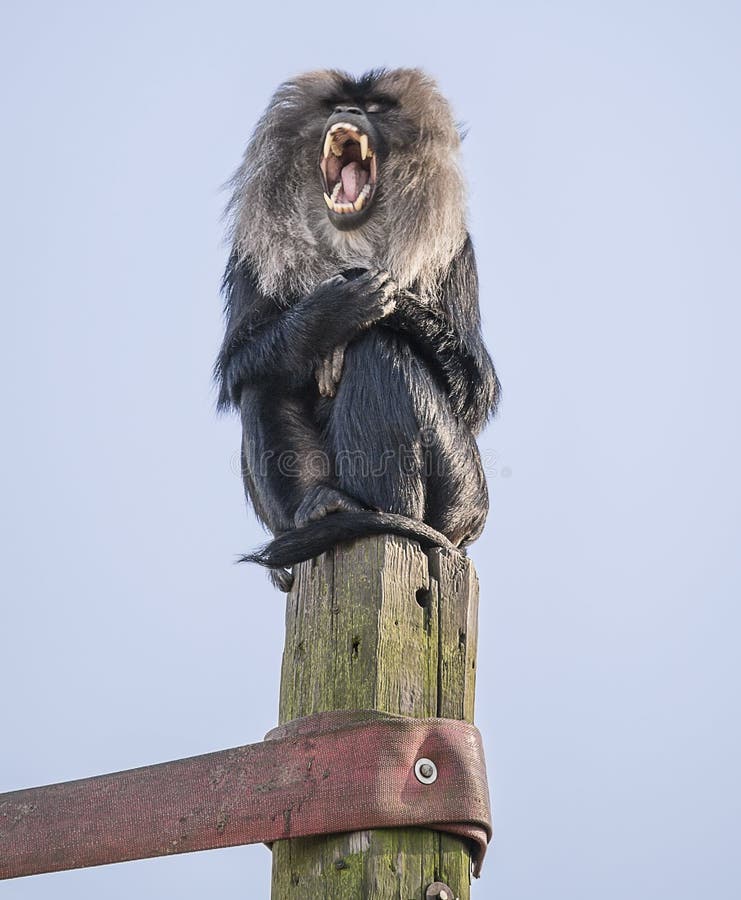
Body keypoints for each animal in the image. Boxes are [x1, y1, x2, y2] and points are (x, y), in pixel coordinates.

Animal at [215, 68, 500, 590]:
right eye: (337, 106)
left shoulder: (457, 248)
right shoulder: (250, 253)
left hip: (464, 490)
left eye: (374, 108)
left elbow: (476, 390)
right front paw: (332, 310)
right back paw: (322, 507)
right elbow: (239, 362)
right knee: (265, 376)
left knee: (377, 347)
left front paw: (386, 298)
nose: (348, 113)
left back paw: (387, 518)